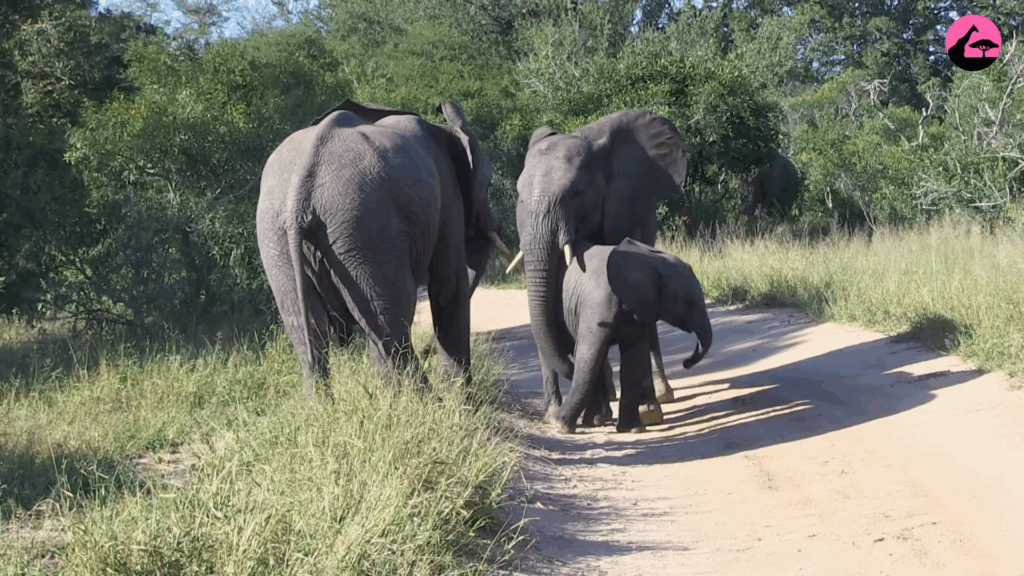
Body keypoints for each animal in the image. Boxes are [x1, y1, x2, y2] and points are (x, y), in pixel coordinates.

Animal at [256, 99, 508, 399]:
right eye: (488, 184)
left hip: (280, 238)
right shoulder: (448, 198)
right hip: (366, 229)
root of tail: (300, 193)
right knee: (392, 318)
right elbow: (449, 284)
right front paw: (463, 402)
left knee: (310, 327)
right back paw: (424, 401)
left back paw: (328, 403)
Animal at [506, 110, 690, 424]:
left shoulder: (621, 210)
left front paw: (643, 410)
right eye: (519, 196)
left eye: (576, 193)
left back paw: (659, 398)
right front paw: (563, 414)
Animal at [551, 238, 712, 434]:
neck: (652, 263)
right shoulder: (599, 303)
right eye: (689, 303)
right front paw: (559, 425)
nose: (686, 363)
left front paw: (632, 429)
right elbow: (589, 353)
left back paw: (596, 419)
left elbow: (634, 356)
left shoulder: (640, 308)